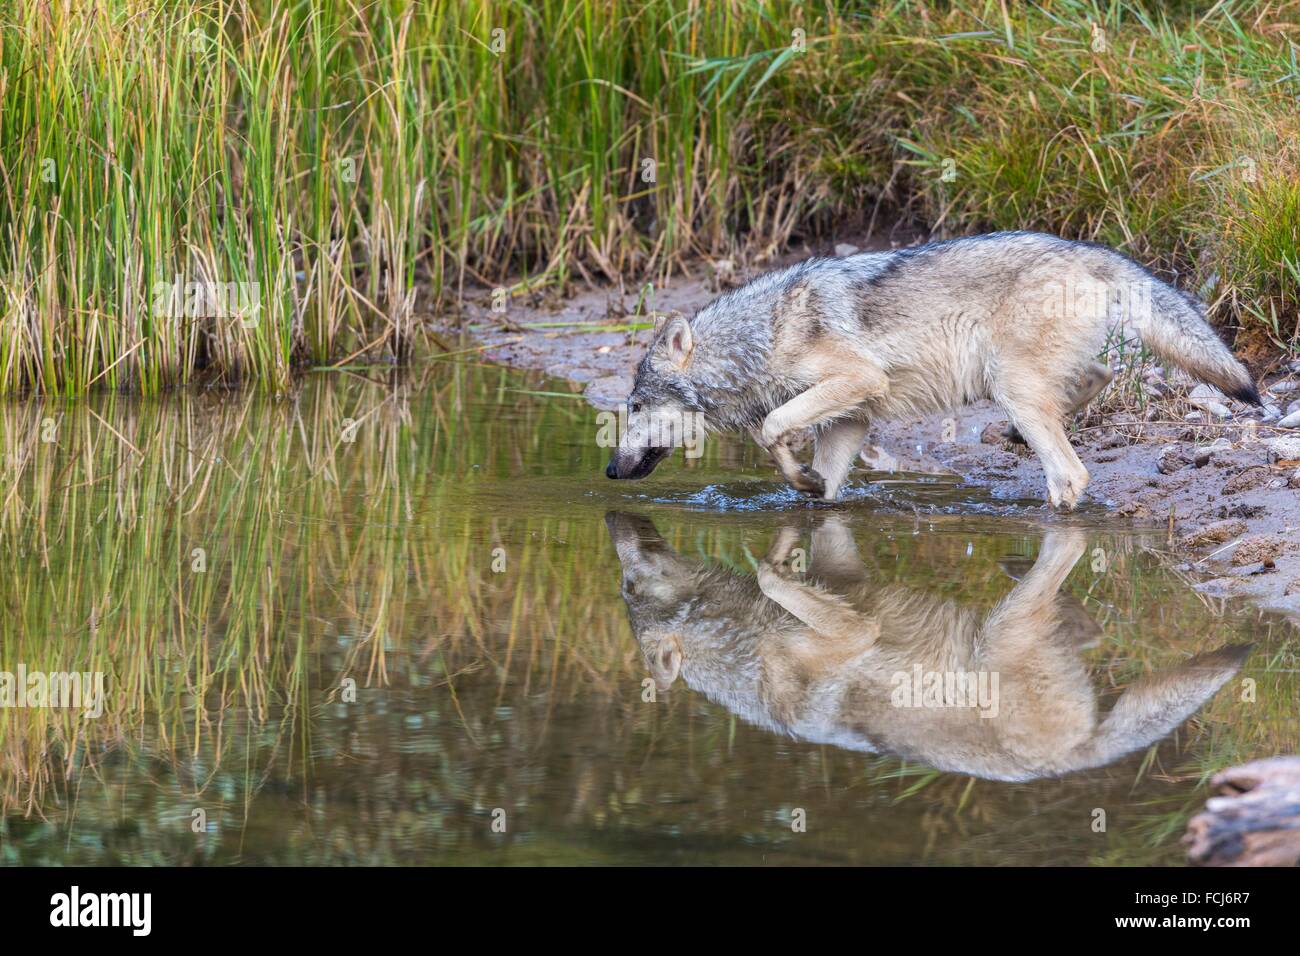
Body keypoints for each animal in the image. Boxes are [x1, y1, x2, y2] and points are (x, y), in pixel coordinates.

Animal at [605, 232, 1260, 507]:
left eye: (634, 407)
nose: (608, 470)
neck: (765, 335)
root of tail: (1092, 250)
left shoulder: (858, 382)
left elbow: (772, 429)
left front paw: (795, 468)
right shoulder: (851, 420)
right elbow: (823, 489)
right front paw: (808, 484)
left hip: (1009, 384)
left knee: (1071, 477)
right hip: (1024, 381)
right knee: (1096, 380)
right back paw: (1014, 435)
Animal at [606, 510, 1250, 781]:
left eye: (627, 586)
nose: (613, 522)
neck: (745, 653)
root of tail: (1067, 762)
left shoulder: (854, 628)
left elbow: (769, 575)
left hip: (996, 635)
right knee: (1083, 625)